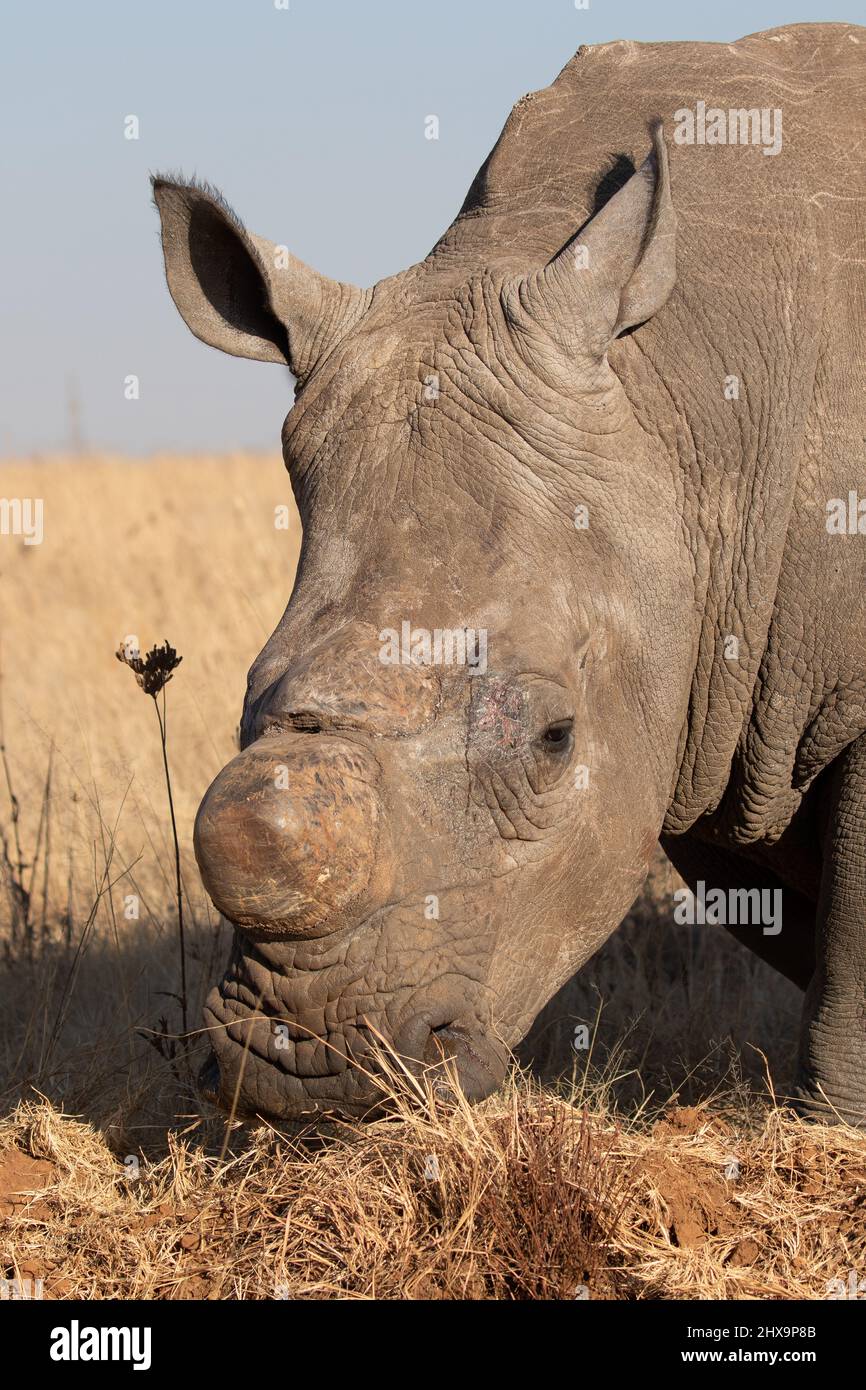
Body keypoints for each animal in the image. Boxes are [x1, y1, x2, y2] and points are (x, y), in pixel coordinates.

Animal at [153, 22, 866, 1125]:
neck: (687, 409)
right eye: (246, 697)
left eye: (551, 739)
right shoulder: (726, 700)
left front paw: (829, 1129)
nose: (302, 1072)